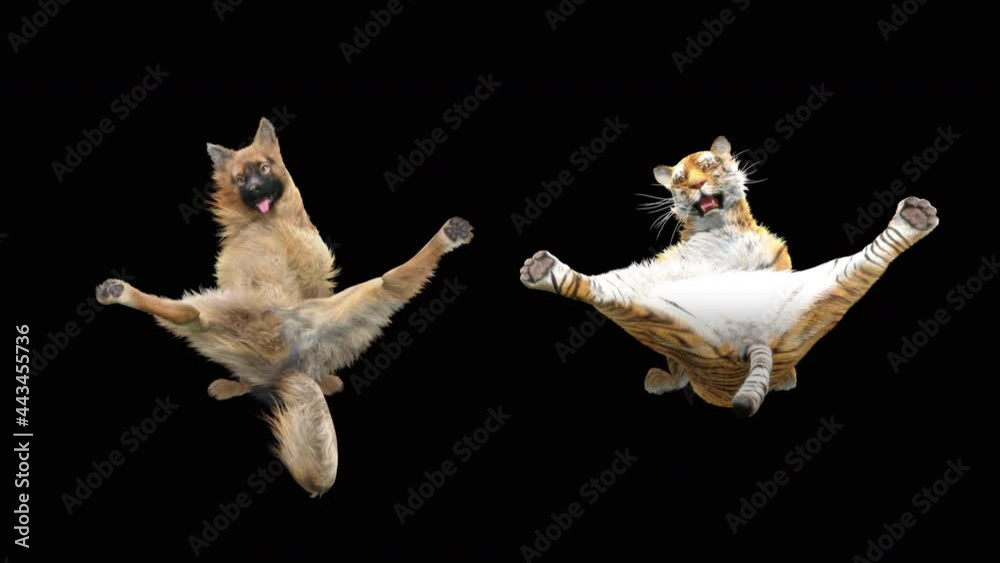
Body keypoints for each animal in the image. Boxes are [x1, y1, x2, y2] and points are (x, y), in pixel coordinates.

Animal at [519, 136, 939, 417]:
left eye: (707, 166)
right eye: (679, 179)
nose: (695, 186)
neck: (718, 230)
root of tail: (756, 342)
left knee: (868, 261)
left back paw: (914, 218)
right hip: (649, 307)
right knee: (598, 288)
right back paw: (542, 271)